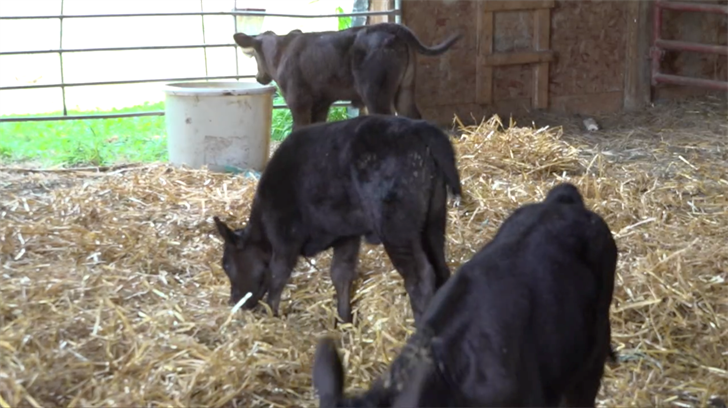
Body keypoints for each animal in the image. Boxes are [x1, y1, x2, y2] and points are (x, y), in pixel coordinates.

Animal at [212, 114, 461, 326]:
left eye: (227, 264)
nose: (234, 301)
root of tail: (419, 128)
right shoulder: (346, 235)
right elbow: (340, 274)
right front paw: (344, 321)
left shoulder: (285, 236)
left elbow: (277, 275)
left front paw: (271, 316)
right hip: (433, 222)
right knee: (441, 268)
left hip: (397, 228)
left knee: (421, 277)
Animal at [232, 22, 463, 131]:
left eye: (253, 56)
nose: (258, 77)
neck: (281, 52)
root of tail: (387, 27)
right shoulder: (321, 102)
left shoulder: (298, 101)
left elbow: (299, 128)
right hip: (405, 89)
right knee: (413, 116)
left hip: (375, 93)